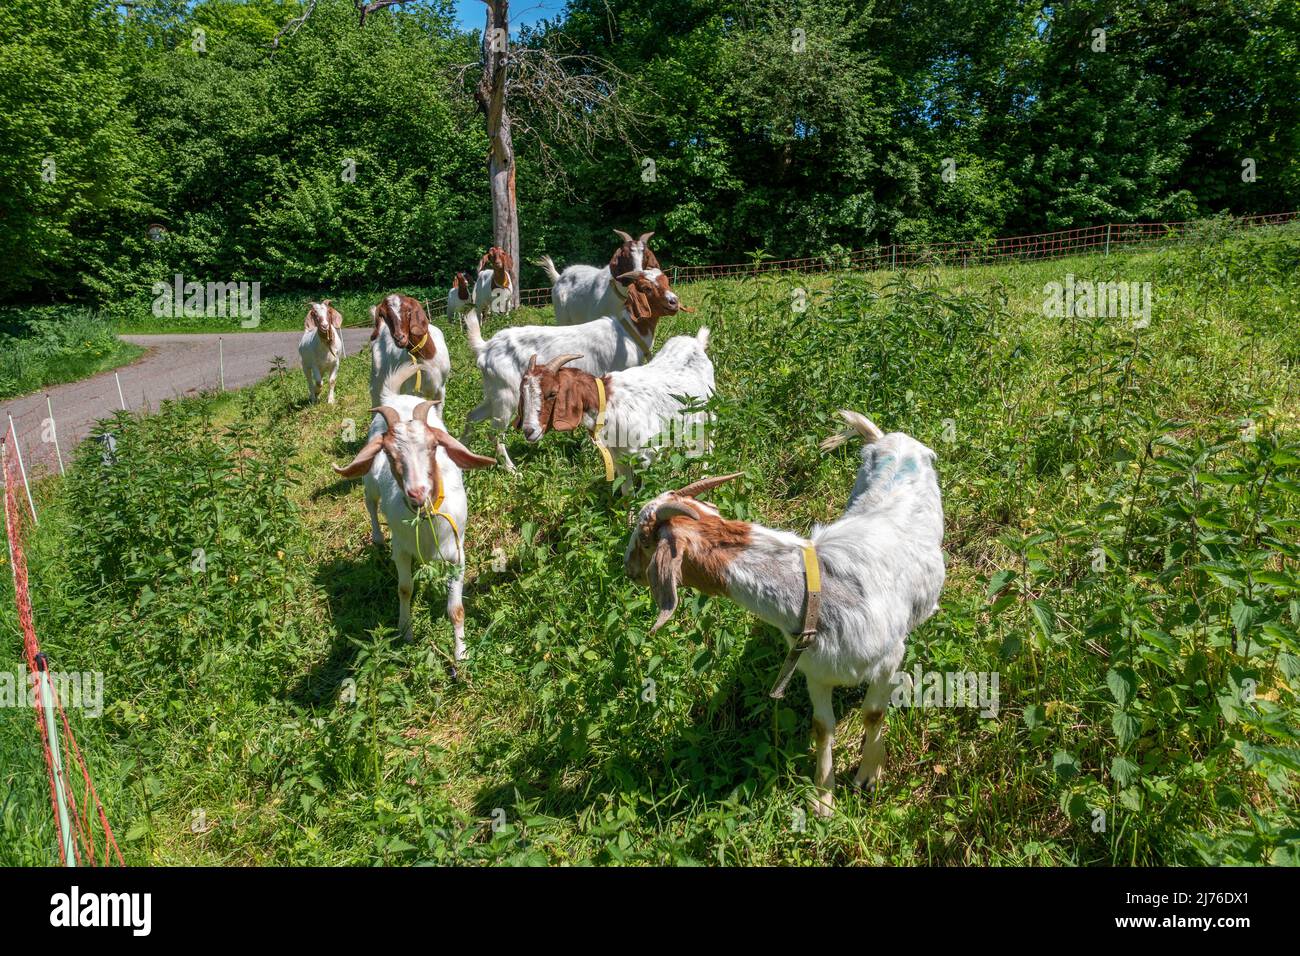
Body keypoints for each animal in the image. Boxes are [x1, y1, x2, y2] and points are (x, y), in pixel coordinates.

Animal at [332, 364, 496, 669]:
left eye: (433, 447)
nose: (417, 493)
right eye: (388, 452)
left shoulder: (457, 554)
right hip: (370, 483)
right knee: (370, 504)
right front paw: (405, 630)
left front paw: (461, 653)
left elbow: (456, 609)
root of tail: (396, 397)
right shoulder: (401, 550)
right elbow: (404, 589)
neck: (426, 522)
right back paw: (376, 538)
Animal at [461, 274, 672, 471]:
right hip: (508, 396)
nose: (674, 302)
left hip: (495, 393)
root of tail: (486, 348)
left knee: (472, 415)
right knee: (494, 432)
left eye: (666, 281)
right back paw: (512, 469)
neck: (629, 332)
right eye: (647, 288)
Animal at [517, 328, 714, 486]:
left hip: (709, 410)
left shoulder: (648, 456)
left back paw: (705, 475)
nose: (528, 430)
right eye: (523, 394)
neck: (609, 403)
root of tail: (696, 343)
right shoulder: (621, 460)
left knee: (709, 440)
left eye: (552, 393)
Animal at [623, 411, 946, 816]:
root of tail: (889, 439)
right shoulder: (814, 670)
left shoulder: (887, 657)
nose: (627, 568)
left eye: (644, 539)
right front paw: (824, 799)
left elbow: (873, 712)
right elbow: (823, 726)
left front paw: (869, 774)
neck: (818, 592)